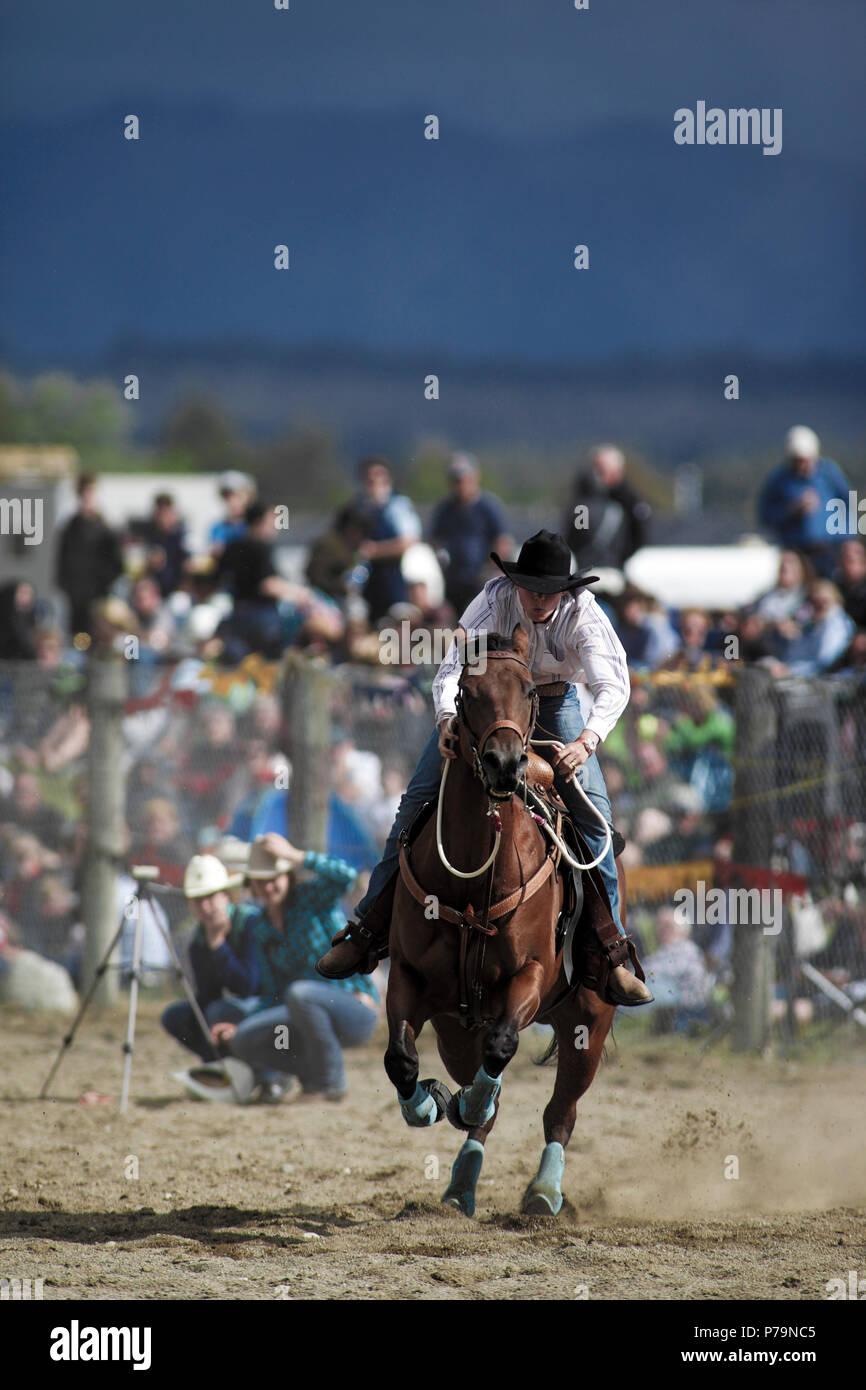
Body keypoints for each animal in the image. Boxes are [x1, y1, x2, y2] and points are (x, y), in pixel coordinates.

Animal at [383, 623, 621, 1216]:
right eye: (466, 691)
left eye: (531, 691)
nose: (505, 765)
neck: (475, 878)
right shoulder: (408, 976)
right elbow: (401, 1059)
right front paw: (430, 1104)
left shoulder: (529, 975)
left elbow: (502, 1047)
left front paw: (463, 1101)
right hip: (453, 1028)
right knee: (482, 1105)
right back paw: (460, 1183)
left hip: (590, 1020)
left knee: (560, 1112)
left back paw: (543, 1191)